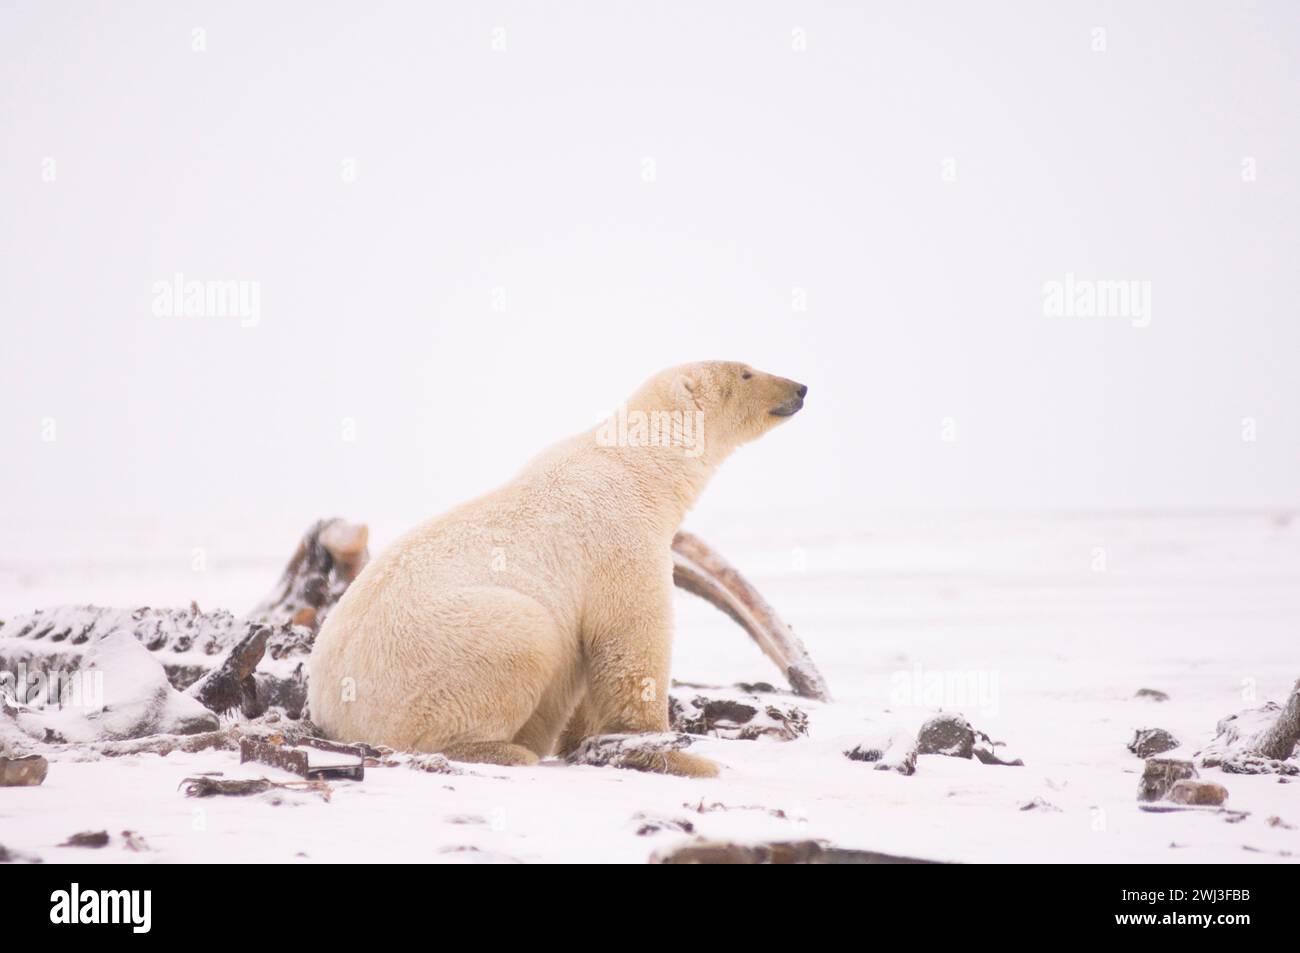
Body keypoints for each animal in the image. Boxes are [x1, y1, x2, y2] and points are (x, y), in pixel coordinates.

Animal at [307, 361, 807, 777]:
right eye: (745, 372)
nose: (800, 388)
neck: (640, 466)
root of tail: (330, 710)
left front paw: (584, 739)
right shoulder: (621, 536)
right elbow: (632, 637)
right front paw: (678, 754)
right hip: (435, 652)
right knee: (525, 634)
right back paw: (503, 750)